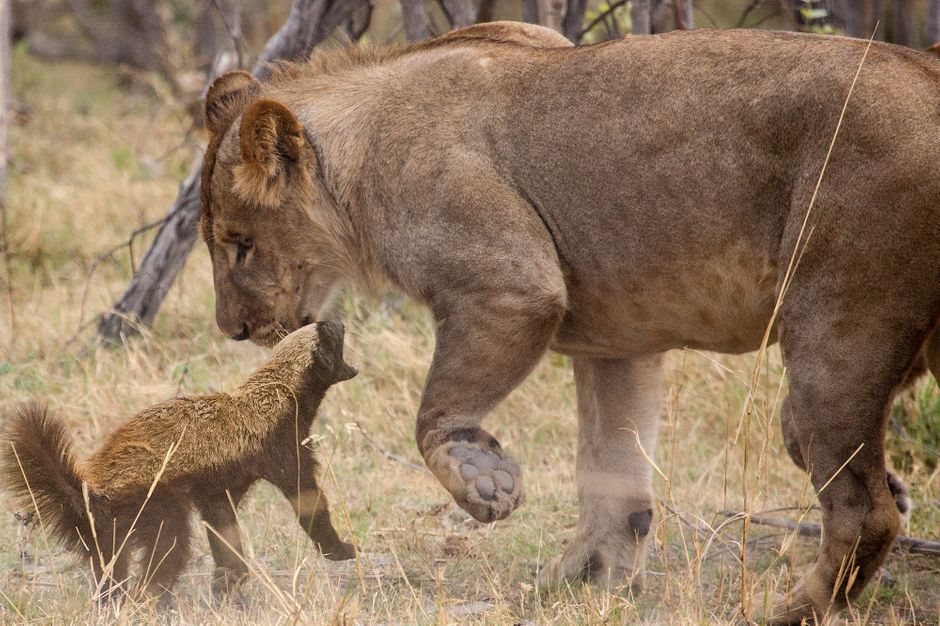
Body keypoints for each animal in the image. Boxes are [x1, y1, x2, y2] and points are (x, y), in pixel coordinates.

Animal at [1, 322, 357, 606]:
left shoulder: (218, 487)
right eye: (331, 334)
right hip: (154, 501)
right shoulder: (283, 444)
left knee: (109, 570)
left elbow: (222, 525)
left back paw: (113, 602)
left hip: (106, 533)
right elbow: (307, 499)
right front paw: (341, 549)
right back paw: (150, 600)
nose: (339, 320)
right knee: (168, 546)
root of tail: (90, 489)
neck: (281, 389)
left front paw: (229, 580)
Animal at [198, 22, 939, 623]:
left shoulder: (512, 285)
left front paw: (485, 482)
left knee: (862, 508)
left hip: (838, 327)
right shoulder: (619, 339)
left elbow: (434, 413)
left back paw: (790, 611)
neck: (357, 161)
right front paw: (583, 579)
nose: (232, 329)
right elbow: (612, 474)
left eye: (239, 244)